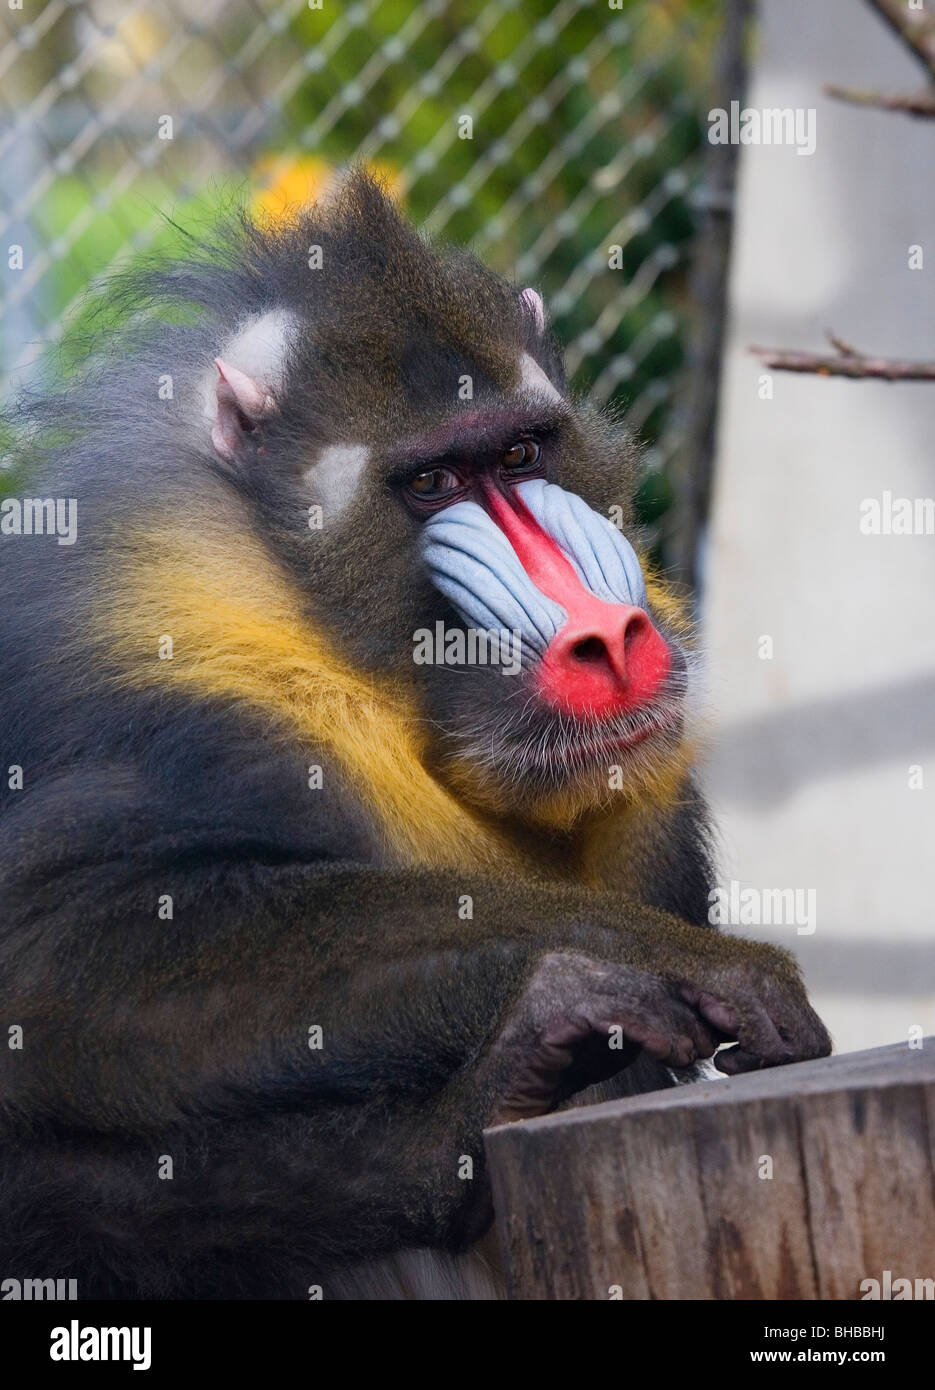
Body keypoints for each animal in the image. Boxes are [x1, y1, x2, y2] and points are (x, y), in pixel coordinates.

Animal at [0, 171, 830, 1301]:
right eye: (432, 483)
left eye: (520, 453)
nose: (608, 642)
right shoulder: (162, 685)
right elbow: (55, 956)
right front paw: (646, 964)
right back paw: (484, 1109)